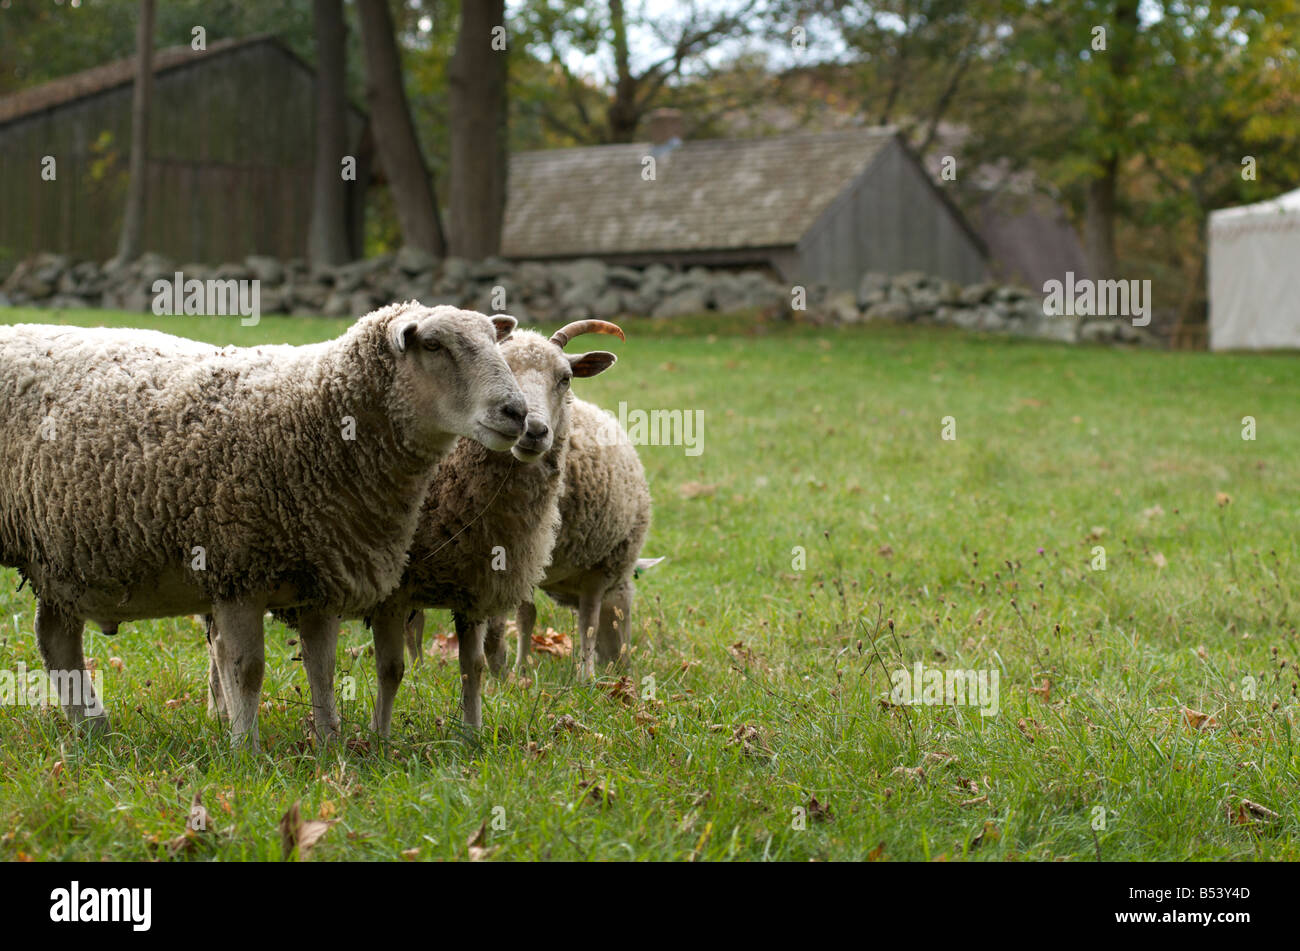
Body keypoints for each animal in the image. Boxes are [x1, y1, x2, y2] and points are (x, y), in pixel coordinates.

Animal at [0, 303, 528, 747]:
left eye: (493, 340)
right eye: (434, 346)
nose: (517, 413)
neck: (316, 415)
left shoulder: (319, 580)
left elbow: (322, 668)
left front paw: (330, 746)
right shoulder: (238, 570)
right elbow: (248, 669)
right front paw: (245, 751)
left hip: (59, 556)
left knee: (55, 639)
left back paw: (92, 728)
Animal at [405, 394, 656, 682]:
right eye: (627, 610)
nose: (621, 666)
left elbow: (526, 615)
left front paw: (521, 668)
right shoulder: (599, 565)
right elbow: (587, 622)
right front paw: (585, 676)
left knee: (414, 621)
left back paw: (417, 672)